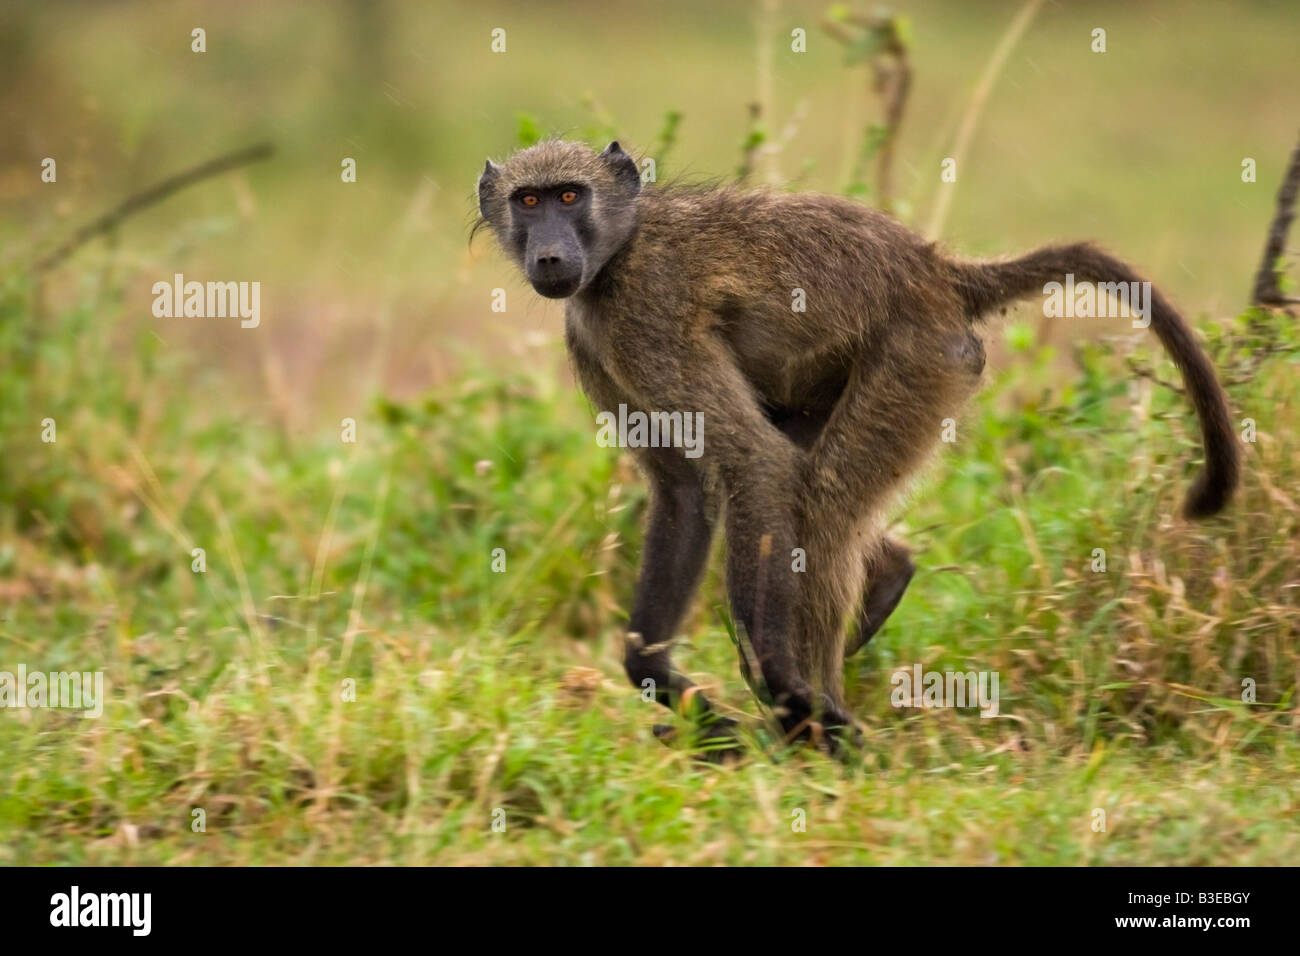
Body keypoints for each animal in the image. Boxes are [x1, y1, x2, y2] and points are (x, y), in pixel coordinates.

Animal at [476, 139, 1240, 755]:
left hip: (922, 360)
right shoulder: (598, 340)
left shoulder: (646, 314)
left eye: (569, 196)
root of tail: (939, 273)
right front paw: (662, 681)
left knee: (819, 505)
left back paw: (808, 727)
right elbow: (685, 491)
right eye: (528, 200)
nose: (550, 255)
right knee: (818, 495)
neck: (617, 253)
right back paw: (876, 598)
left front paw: (782, 689)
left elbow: (753, 464)